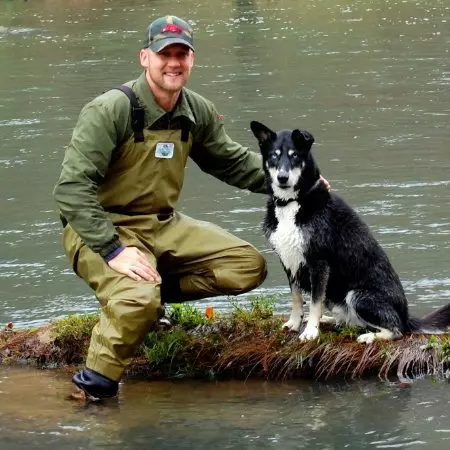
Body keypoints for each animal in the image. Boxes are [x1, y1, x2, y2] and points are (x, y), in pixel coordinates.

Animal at [250, 121, 450, 342]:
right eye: (274, 156)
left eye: (295, 156)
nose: (282, 178)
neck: (292, 202)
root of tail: (406, 316)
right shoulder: (288, 260)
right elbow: (297, 296)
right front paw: (294, 323)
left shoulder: (319, 261)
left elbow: (315, 301)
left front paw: (310, 331)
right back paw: (330, 319)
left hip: (358, 295)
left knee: (396, 329)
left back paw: (370, 336)